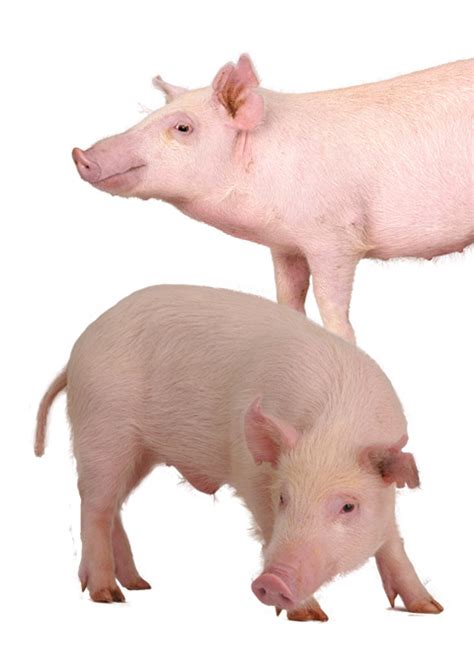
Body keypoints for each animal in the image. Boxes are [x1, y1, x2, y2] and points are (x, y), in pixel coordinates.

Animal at [35, 285, 442, 619]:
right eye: (283, 498)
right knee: (95, 506)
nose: (272, 582)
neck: (335, 431)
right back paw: (108, 594)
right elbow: (267, 525)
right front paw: (310, 616)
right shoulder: (250, 473)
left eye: (348, 506)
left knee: (114, 506)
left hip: (138, 452)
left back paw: (138, 583)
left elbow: (391, 541)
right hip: (103, 429)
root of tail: (76, 353)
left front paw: (429, 608)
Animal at [72, 56, 473, 342]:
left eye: (182, 127)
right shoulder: (285, 245)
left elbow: (332, 308)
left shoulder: (335, 236)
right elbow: (289, 296)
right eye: (148, 116)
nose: (80, 154)